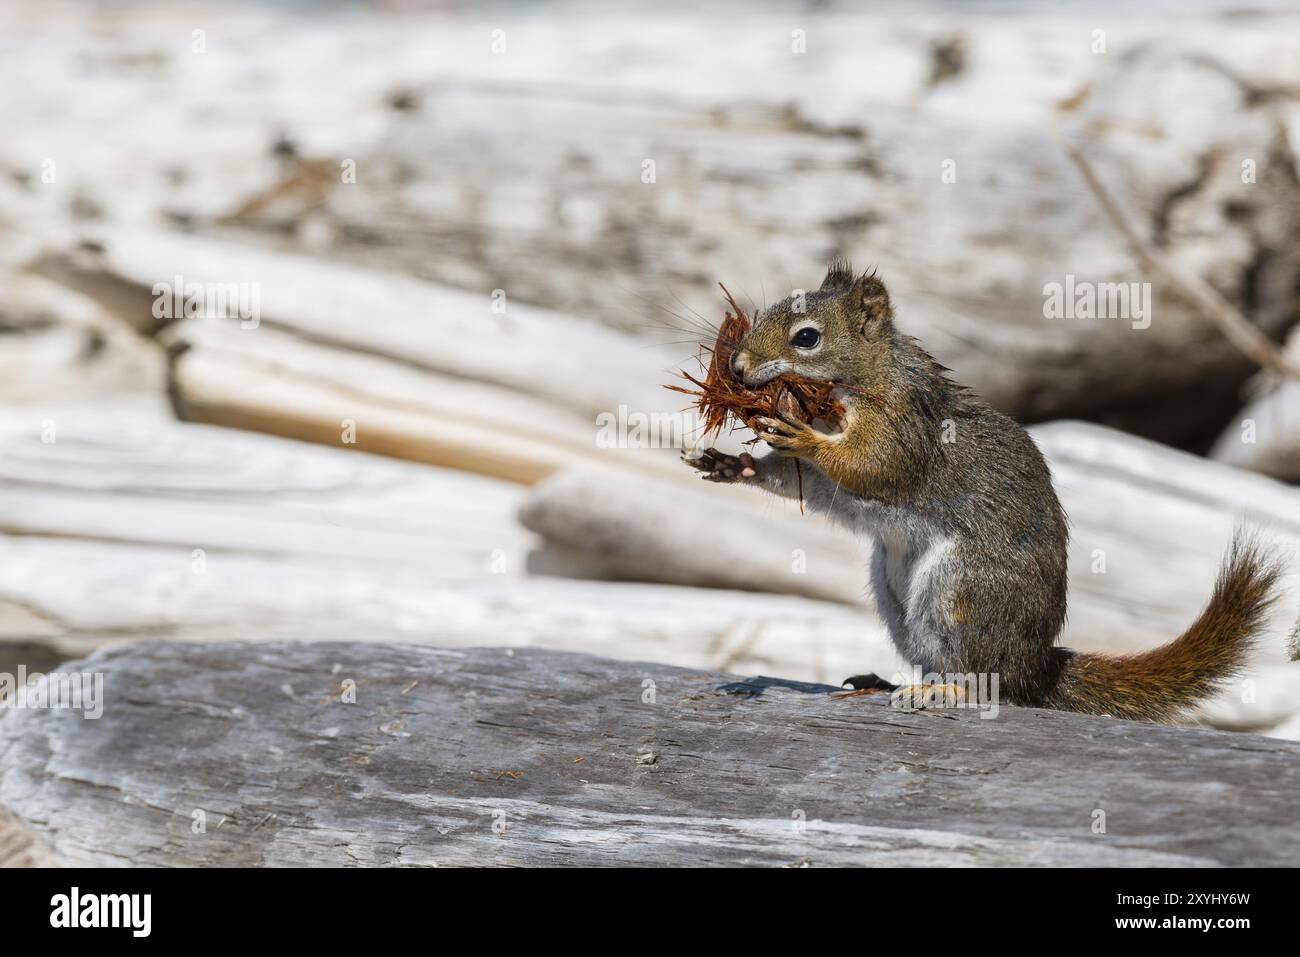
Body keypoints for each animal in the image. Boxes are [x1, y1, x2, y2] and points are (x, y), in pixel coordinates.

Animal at [684, 261, 1282, 721]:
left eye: (807, 337)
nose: (736, 365)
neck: (867, 378)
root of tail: (1033, 665)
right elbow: (807, 482)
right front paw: (732, 464)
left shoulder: (906, 425)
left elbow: (872, 467)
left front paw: (802, 436)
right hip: (894, 597)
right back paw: (891, 681)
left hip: (962, 589)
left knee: (989, 683)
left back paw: (944, 690)